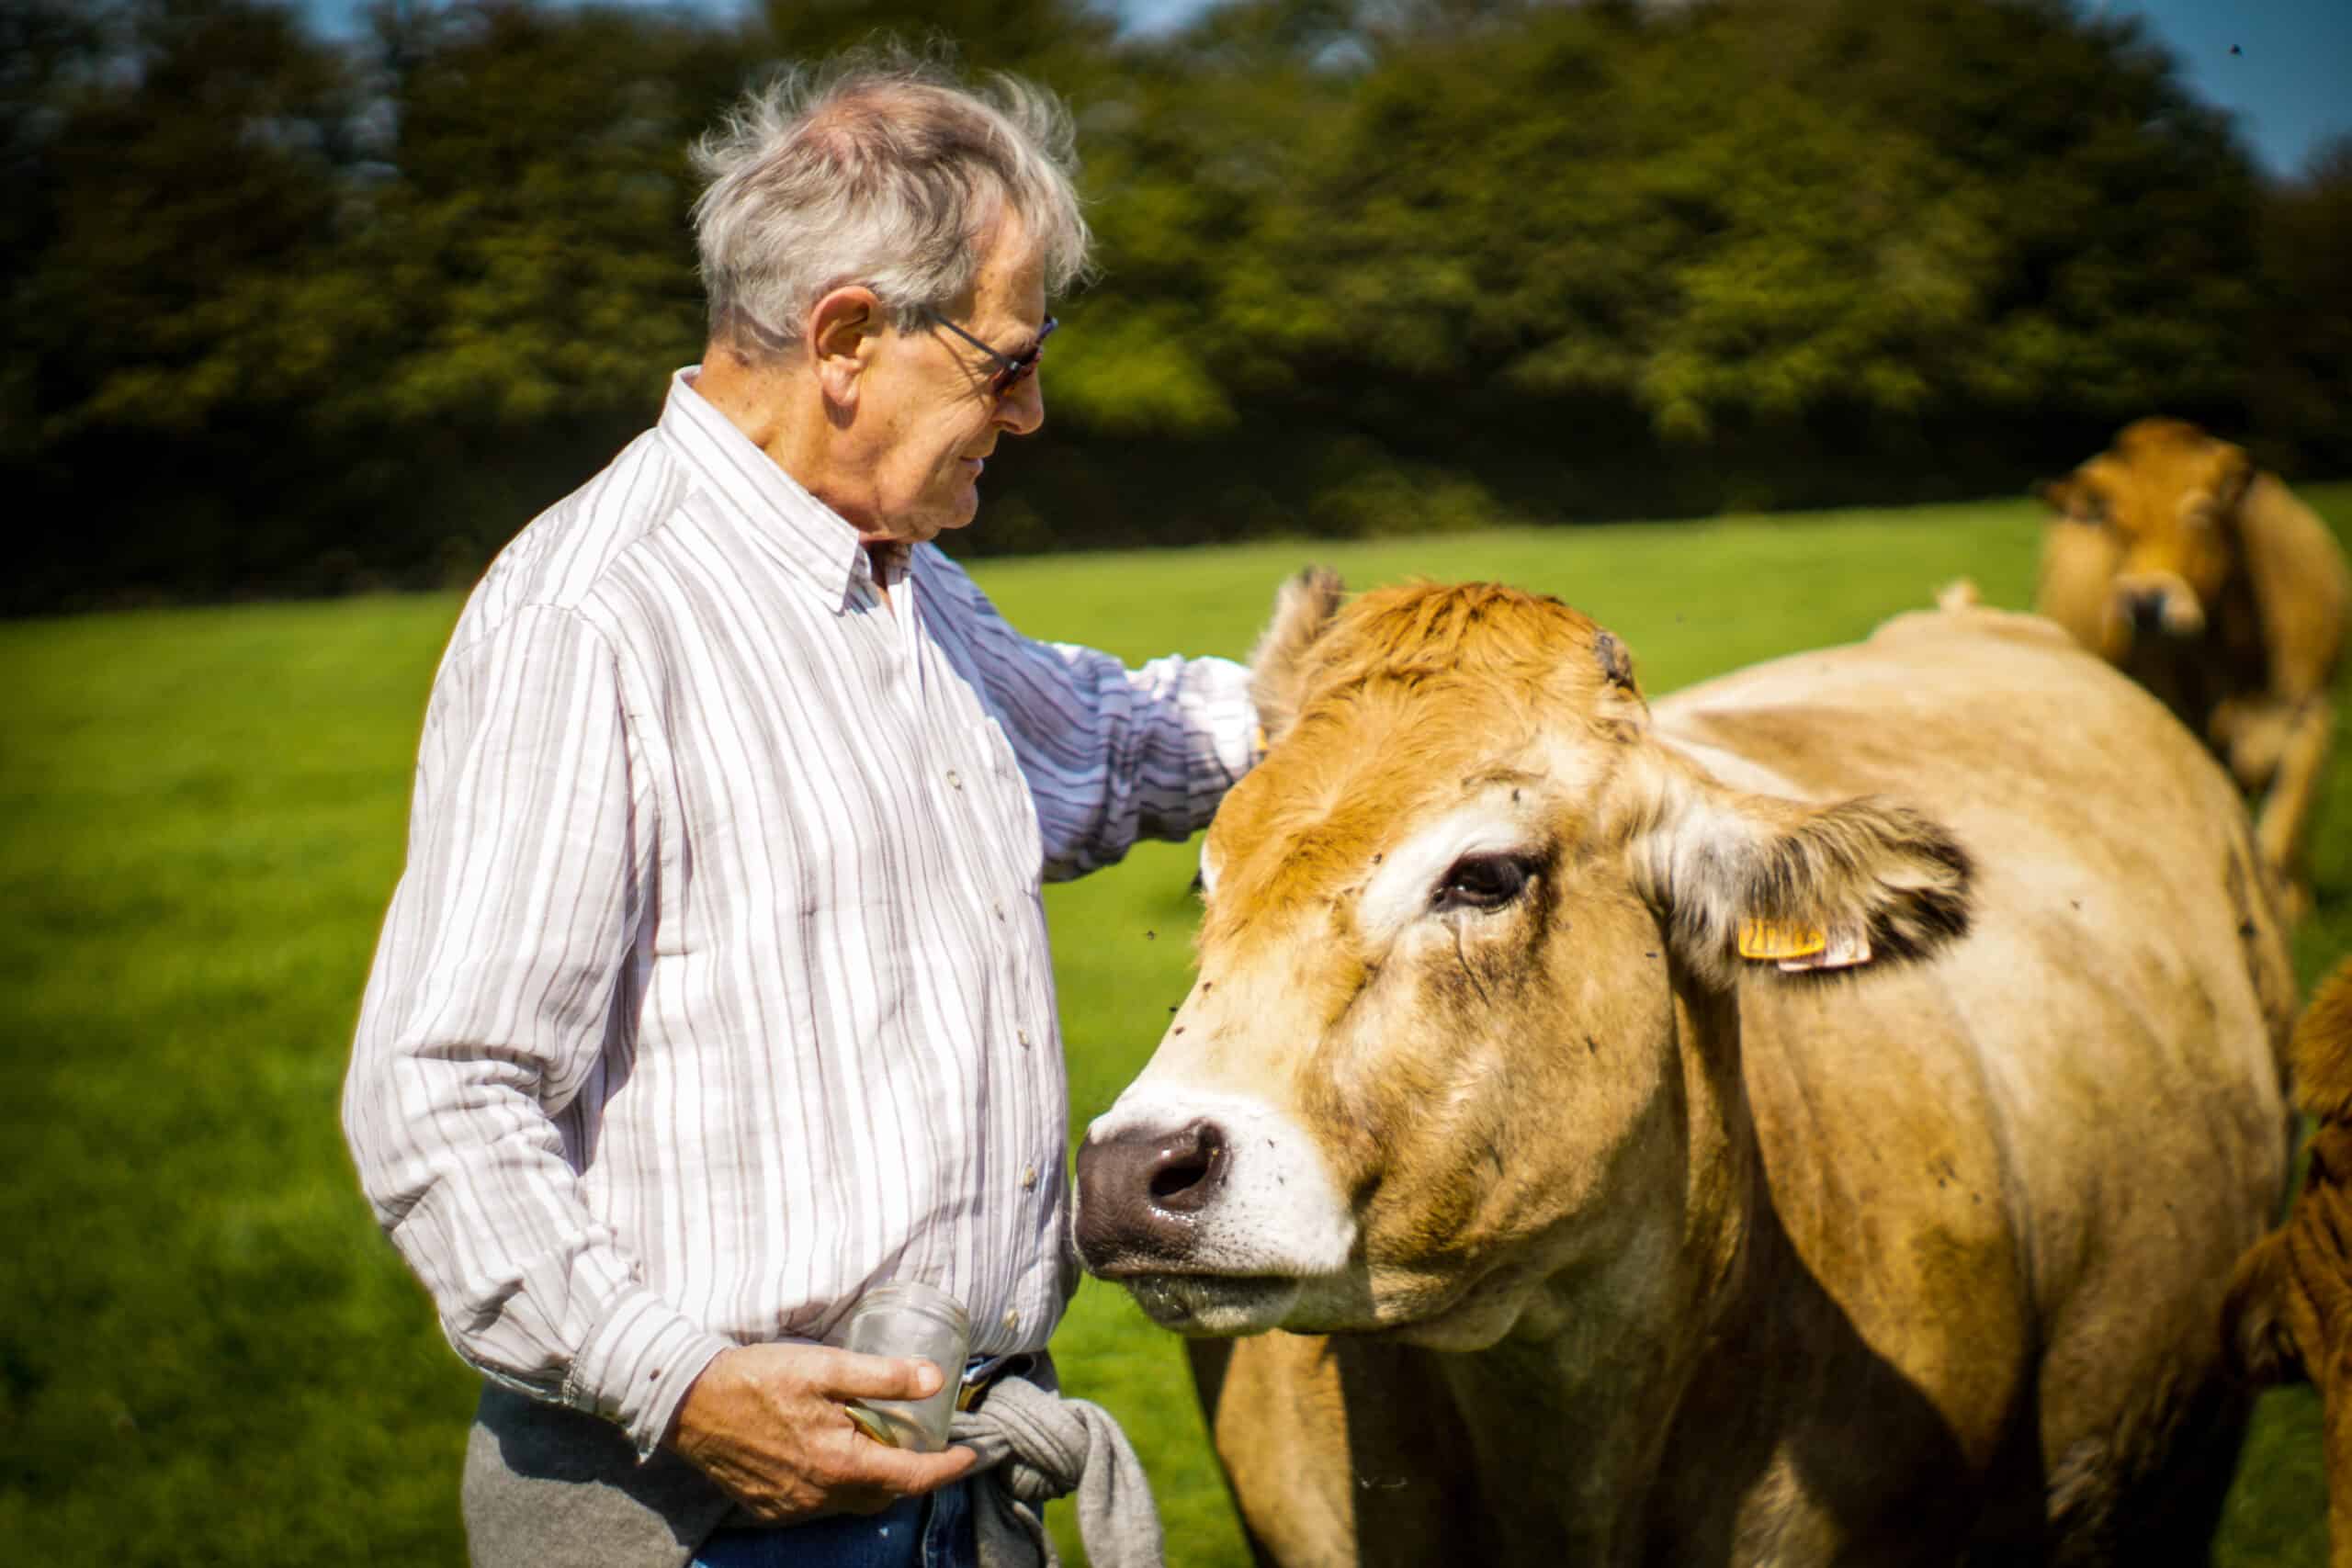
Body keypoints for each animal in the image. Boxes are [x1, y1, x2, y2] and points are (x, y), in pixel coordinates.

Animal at [2035, 416, 2349, 921]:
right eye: (2114, 522)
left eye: (2201, 512)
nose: (2144, 602)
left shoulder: (2311, 717)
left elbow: (2285, 825)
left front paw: (2289, 912)